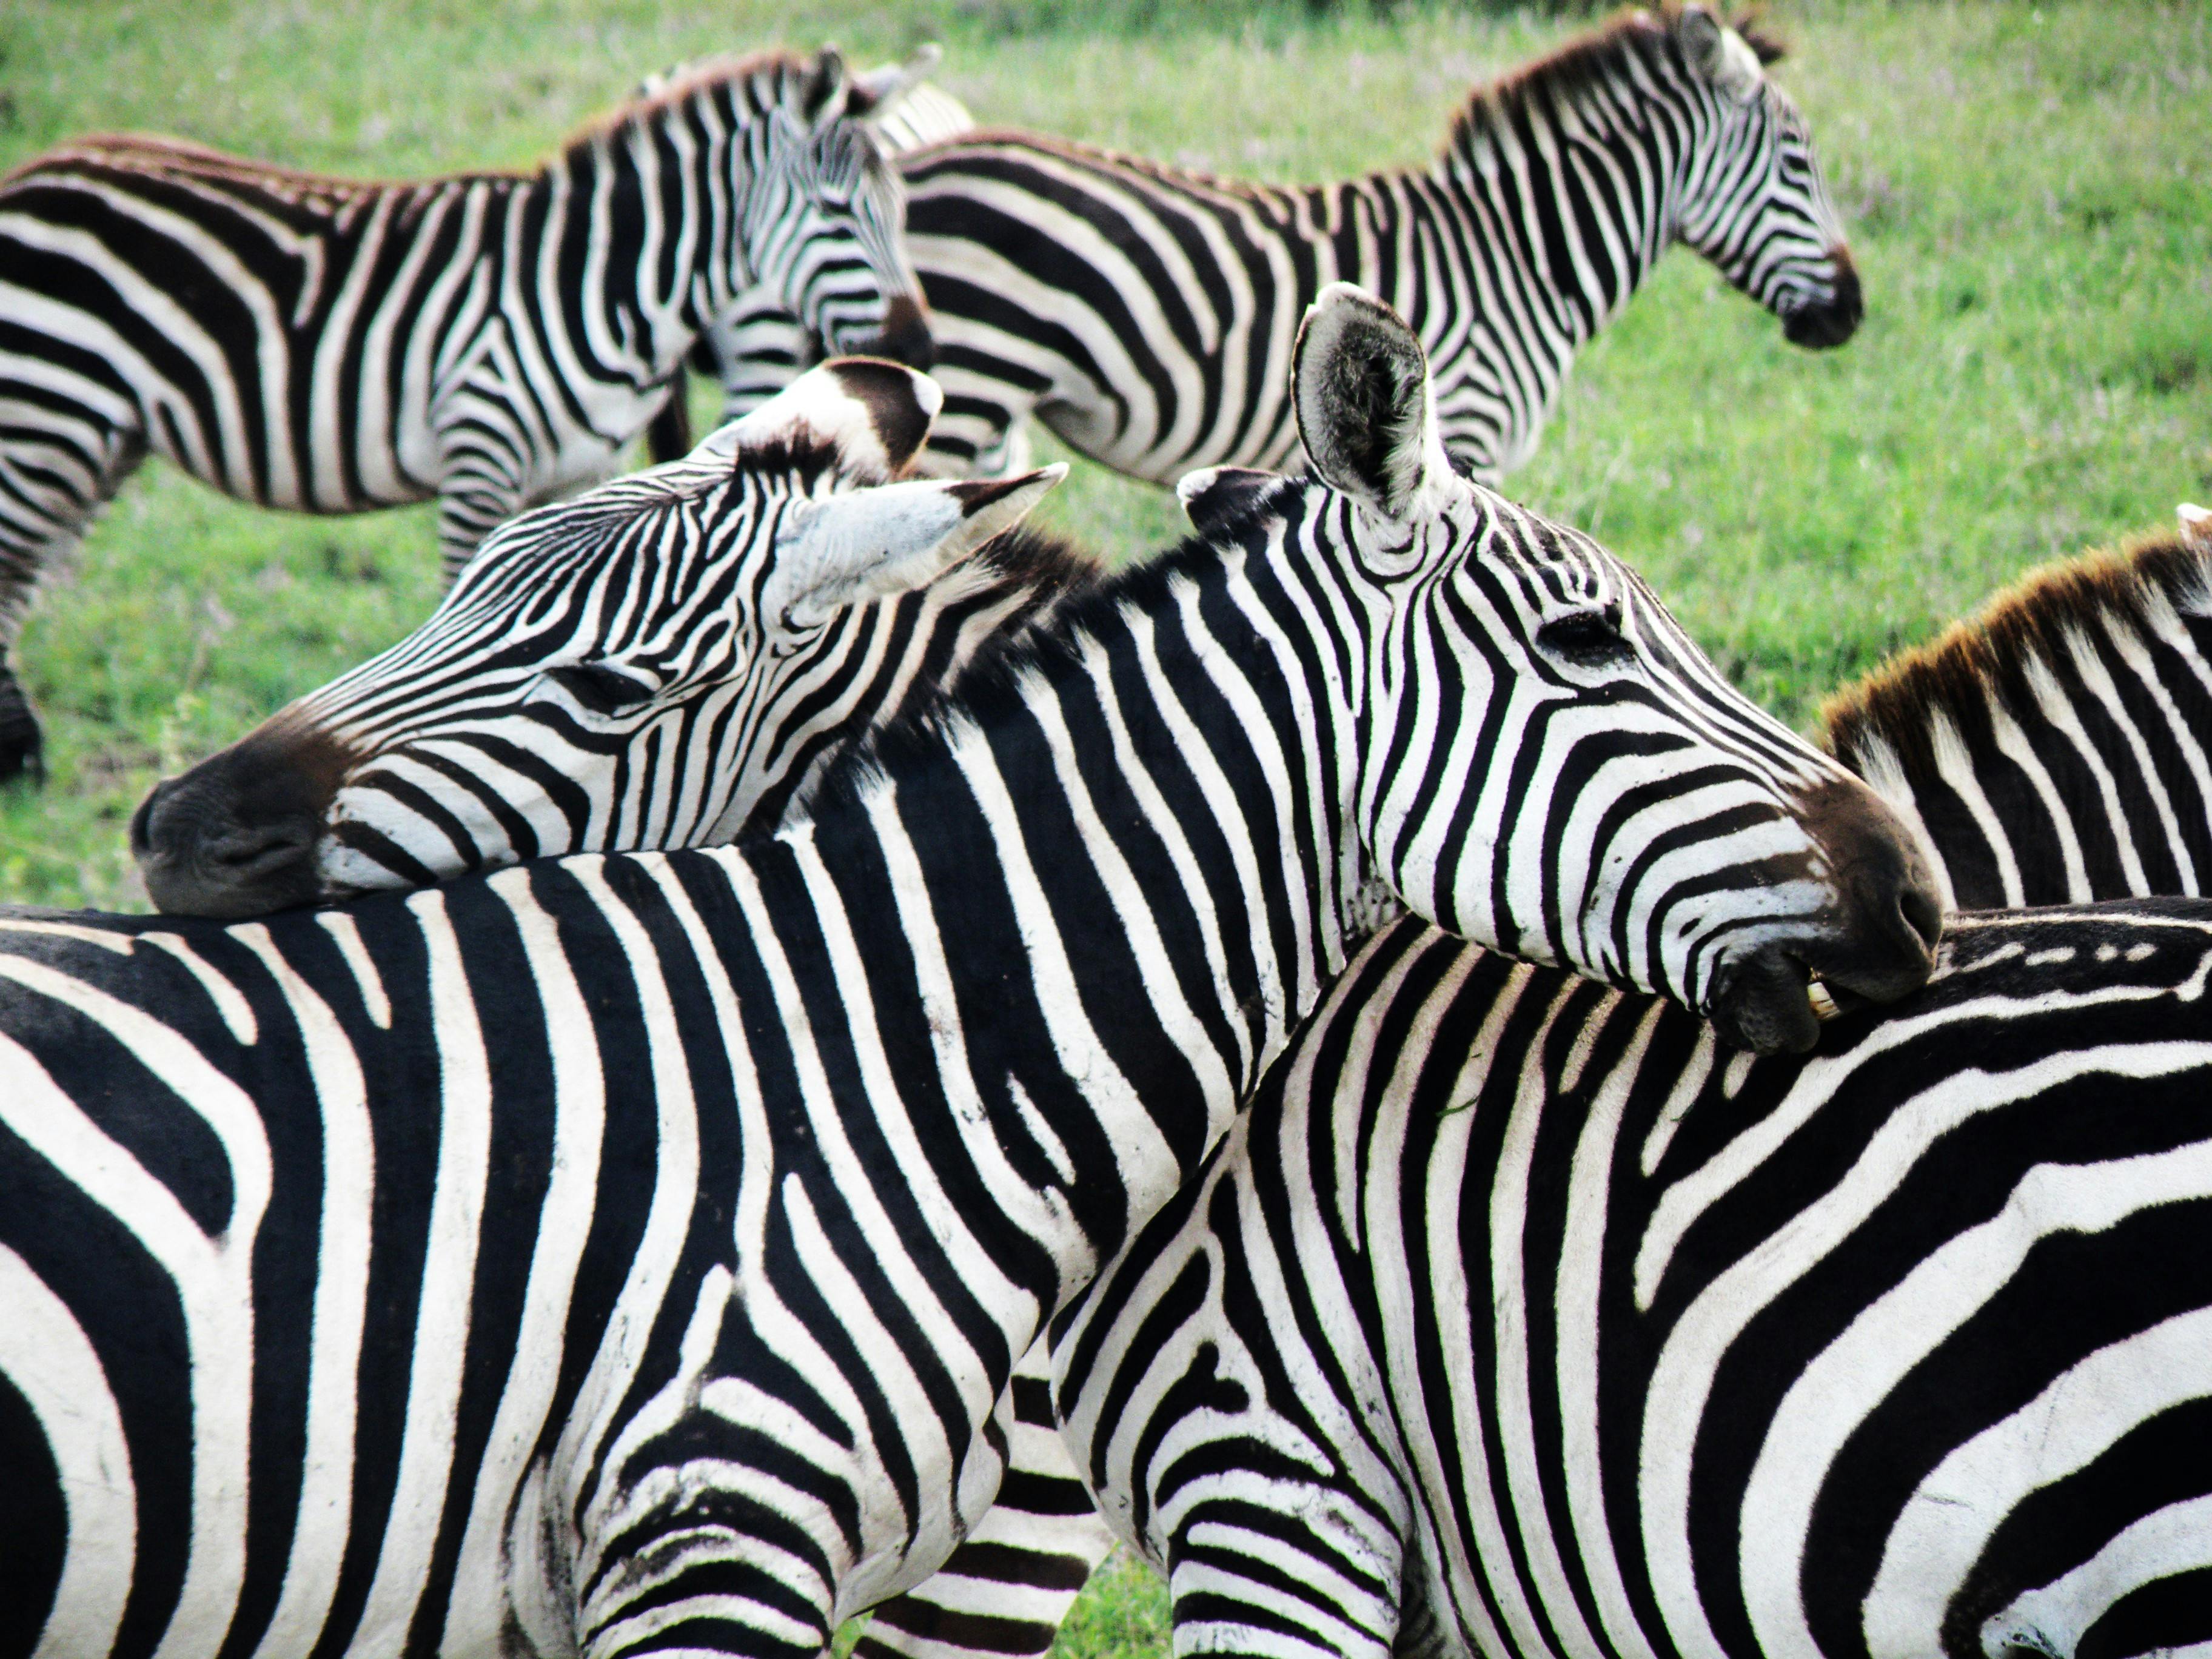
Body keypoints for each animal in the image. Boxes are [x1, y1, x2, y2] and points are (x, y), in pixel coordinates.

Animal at [0, 46, 936, 784]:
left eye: (900, 211)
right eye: (836, 213)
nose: (918, 348)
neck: (598, 284)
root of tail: (40, 169)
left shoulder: (584, 470)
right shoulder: (480, 452)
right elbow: (461, 603)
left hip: (102, 435)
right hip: (54, 407)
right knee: (14, 565)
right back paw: (23, 761)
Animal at [656, 4, 1859, 484]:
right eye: (1801, 160)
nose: (1849, 315)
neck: (1520, 256)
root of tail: (915, 167)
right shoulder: (1457, 428)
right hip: (969, 395)